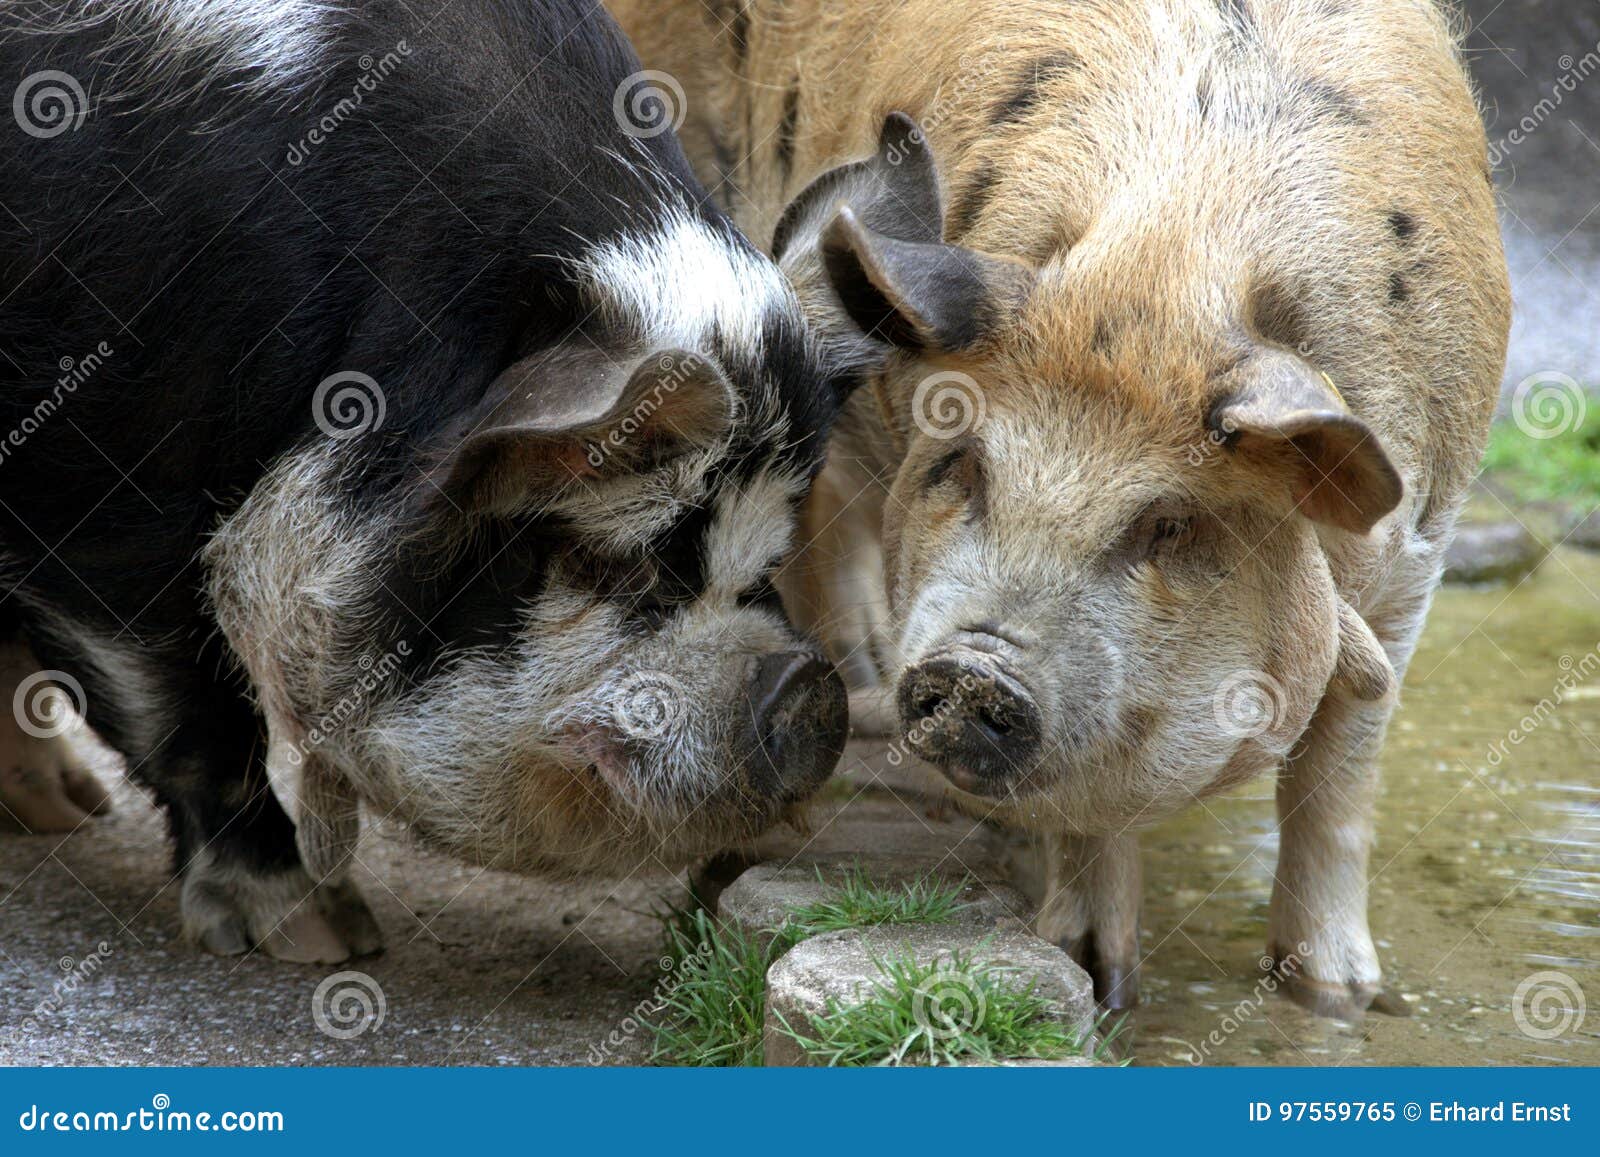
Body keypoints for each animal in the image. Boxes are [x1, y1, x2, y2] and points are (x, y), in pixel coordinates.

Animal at [0, 0, 854, 962]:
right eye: (622, 564)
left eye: (767, 563)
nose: (812, 689)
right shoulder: (99, 491)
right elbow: (187, 709)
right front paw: (324, 937)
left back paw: (64, 812)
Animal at [606, 0, 1512, 1014]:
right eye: (963, 464)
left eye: (1169, 521)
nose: (973, 665)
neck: (1169, 257)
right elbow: (1084, 809)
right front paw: (1097, 981)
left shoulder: (1419, 557)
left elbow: (1340, 767)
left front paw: (1339, 999)